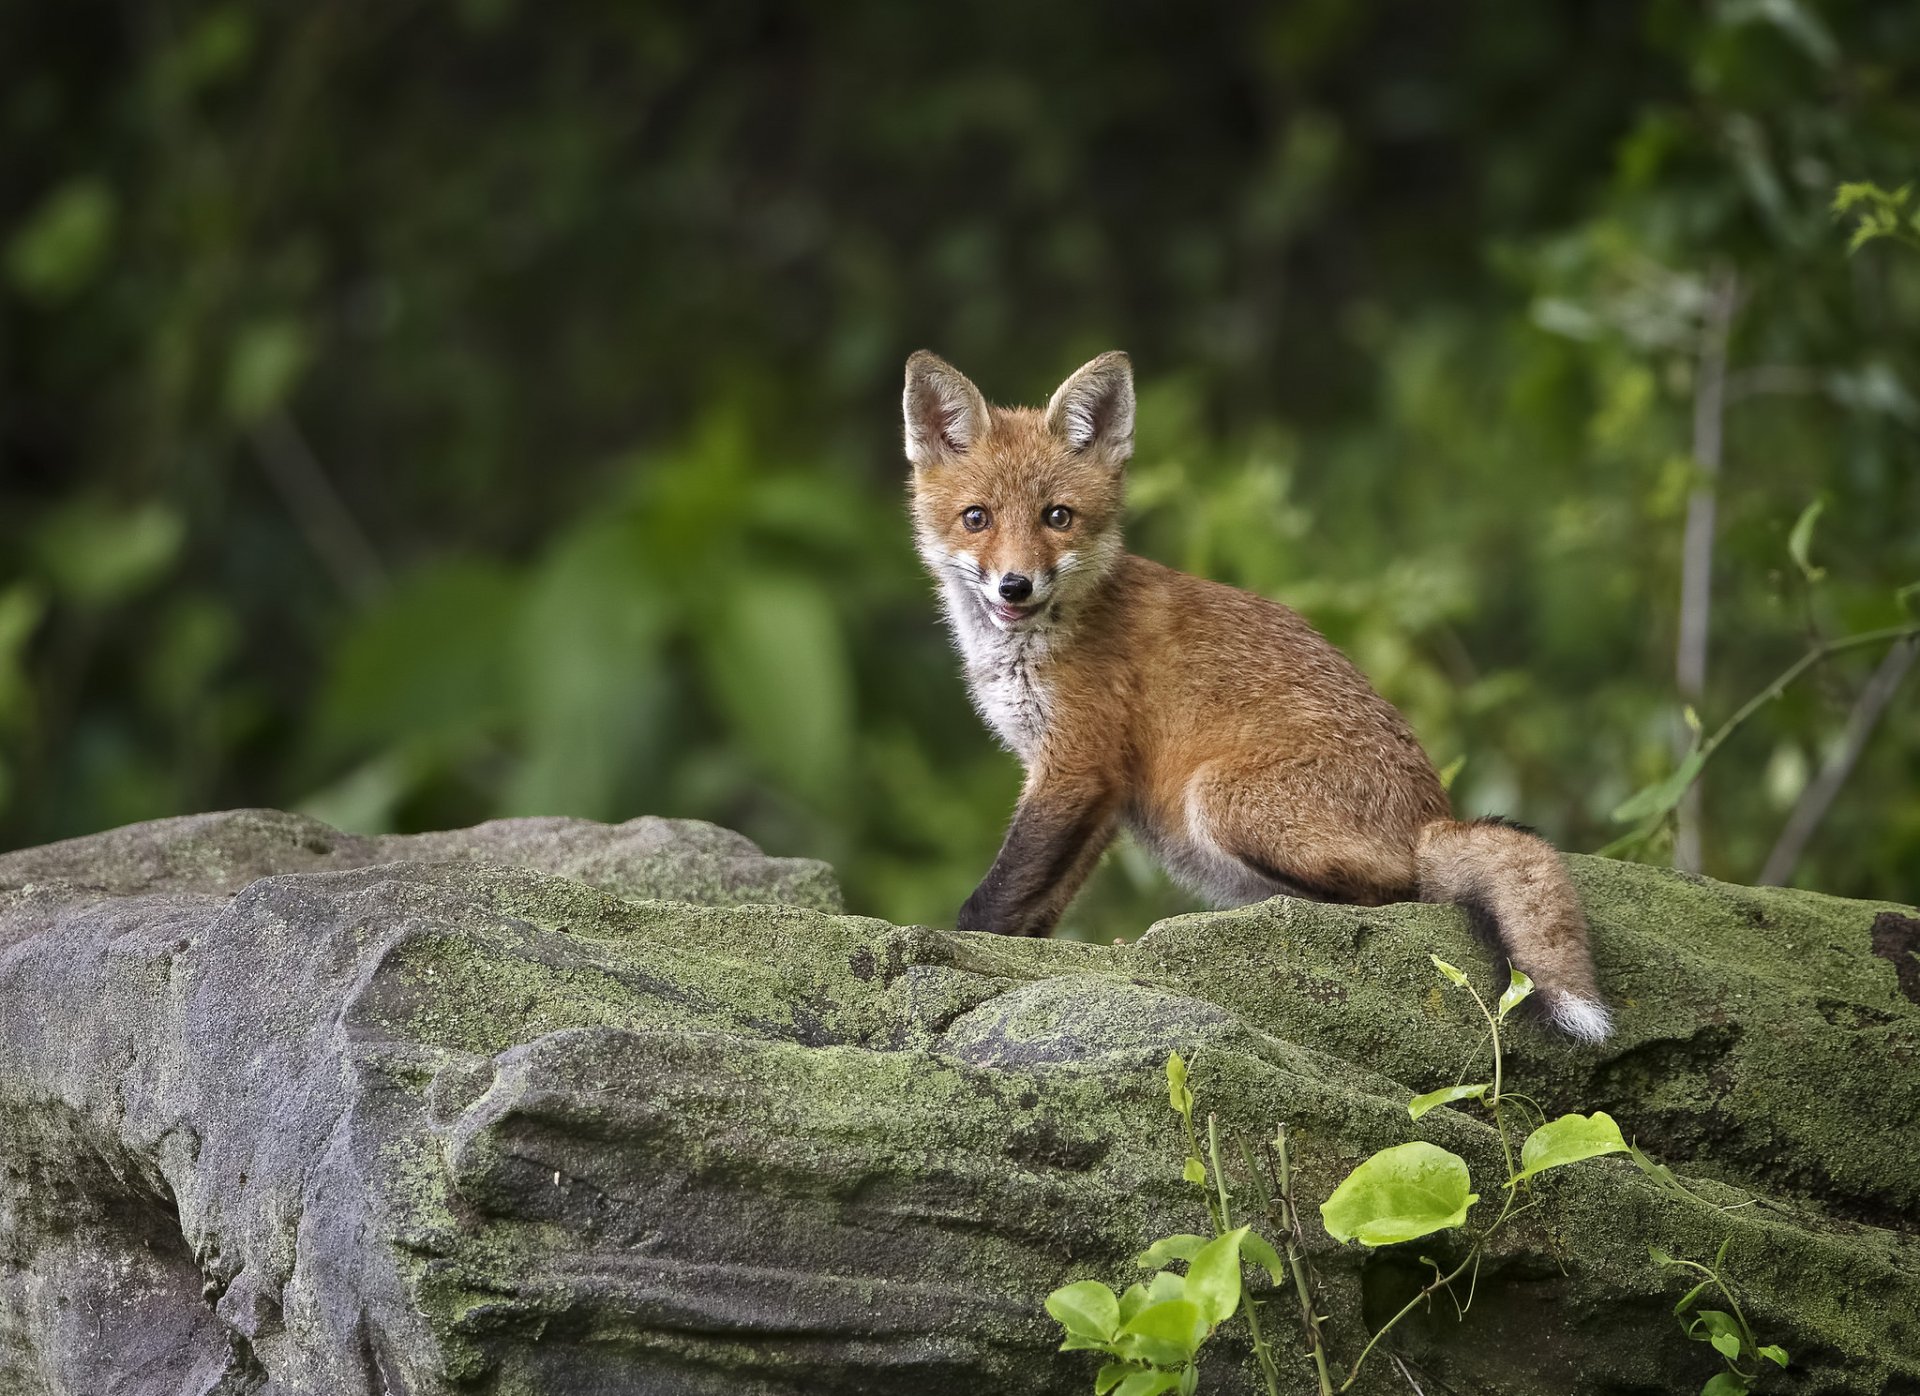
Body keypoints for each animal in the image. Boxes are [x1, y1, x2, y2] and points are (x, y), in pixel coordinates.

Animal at [903, 349, 1611, 1041]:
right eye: (976, 518)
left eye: (1057, 517)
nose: (1014, 586)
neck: (1039, 641)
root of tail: (1431, 818)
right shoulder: (1097, 792)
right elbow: (1040, 900)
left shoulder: (1078, 762)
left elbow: (995, 895)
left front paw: (956, 947)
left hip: (1217, 800)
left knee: (1397, 892)